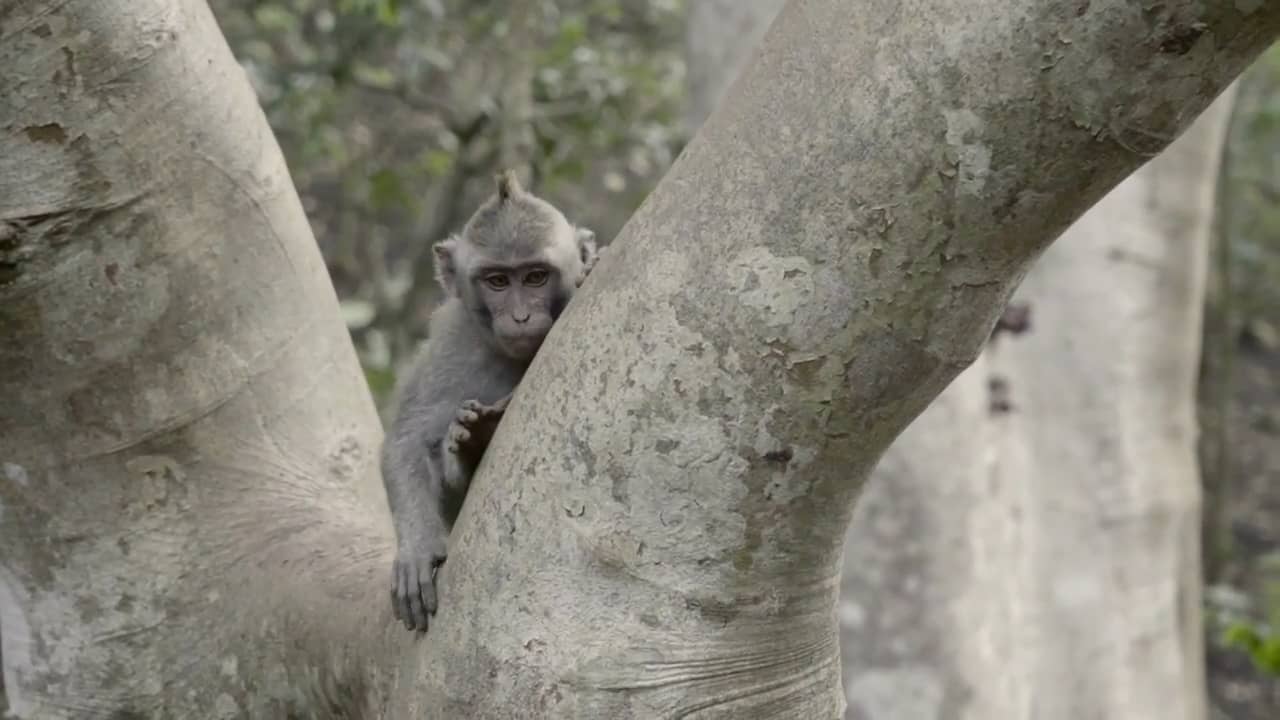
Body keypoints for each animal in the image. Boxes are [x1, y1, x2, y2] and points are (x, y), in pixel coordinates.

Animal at [381, 170, 599, 632]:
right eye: (498, 281)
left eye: (535, 277)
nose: (519, 317)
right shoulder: (453, 338)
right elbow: (406, 440)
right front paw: (416, 549)